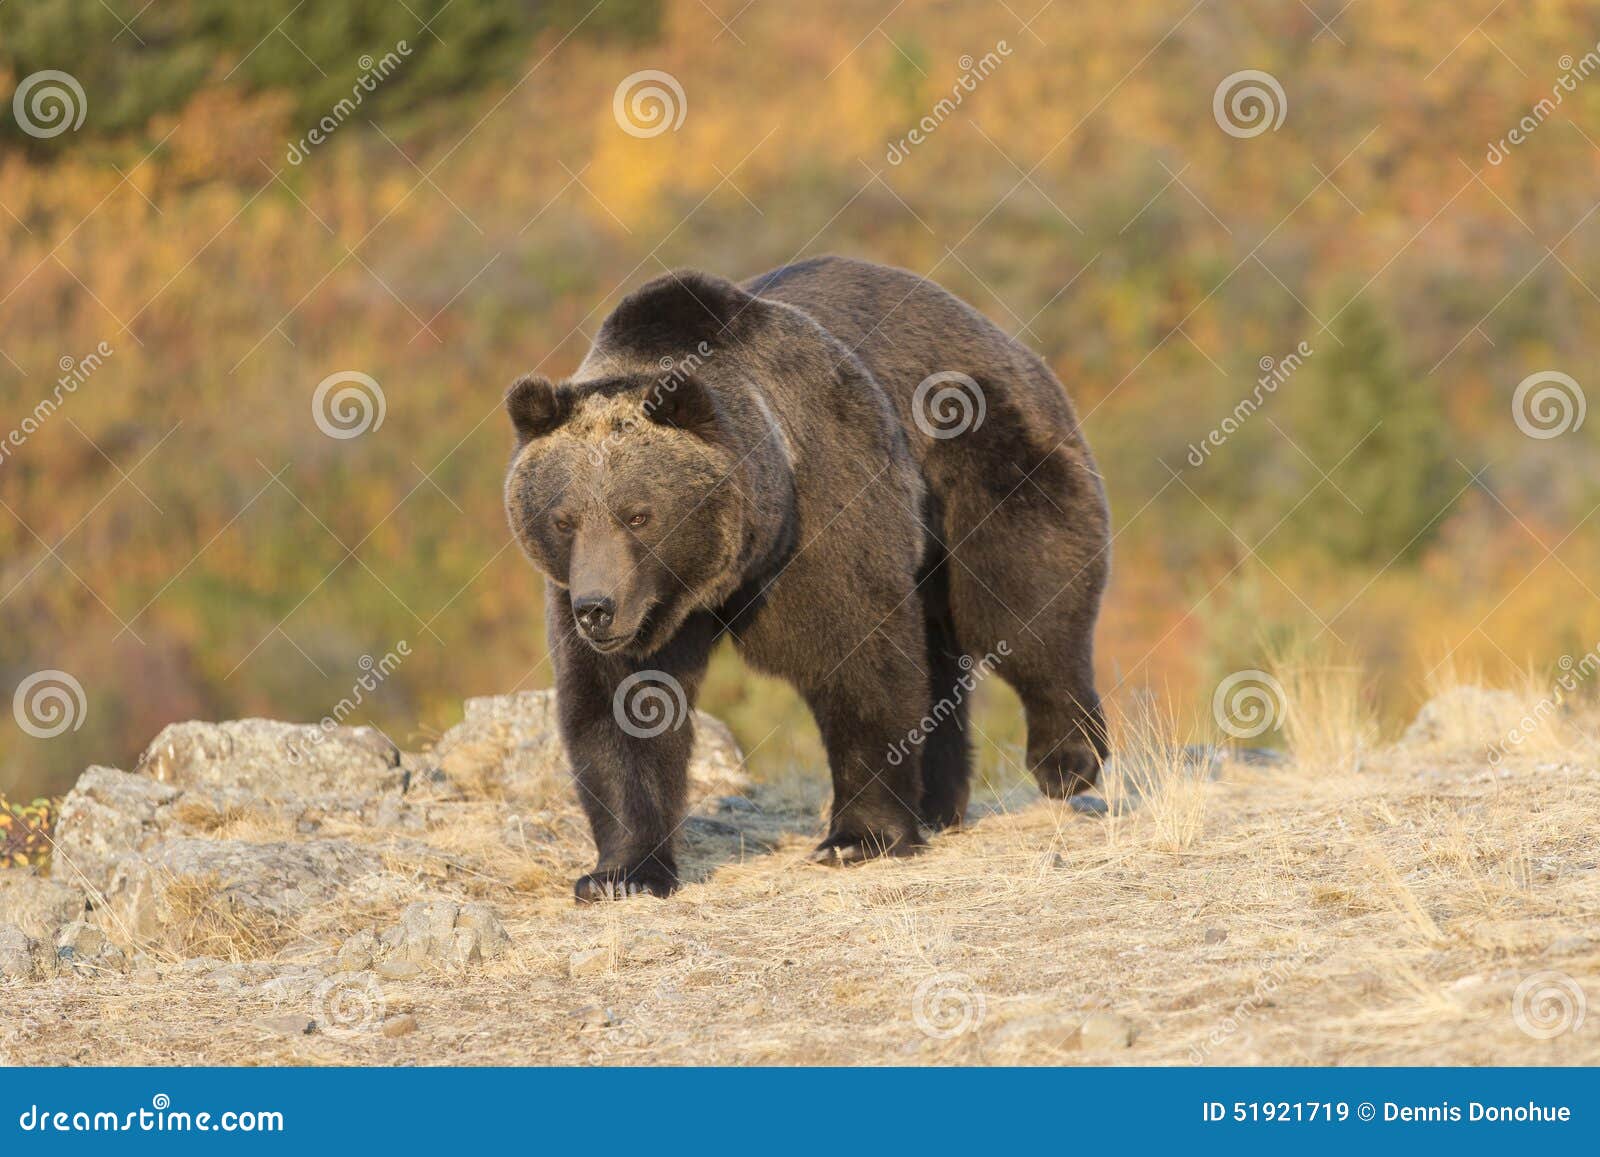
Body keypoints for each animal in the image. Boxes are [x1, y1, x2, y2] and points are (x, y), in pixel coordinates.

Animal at [504, 256, 1110, 902]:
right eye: (564, 519)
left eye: (638, 514)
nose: (597, 608)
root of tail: (994, 329)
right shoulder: (618, 603)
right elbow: (618, 706)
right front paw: (620, 872)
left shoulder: (824, 506)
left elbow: (859, 655)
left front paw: (857, 838)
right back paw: (937, 802)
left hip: (979, 452)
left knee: (1025, 592)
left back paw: (1067, 759)